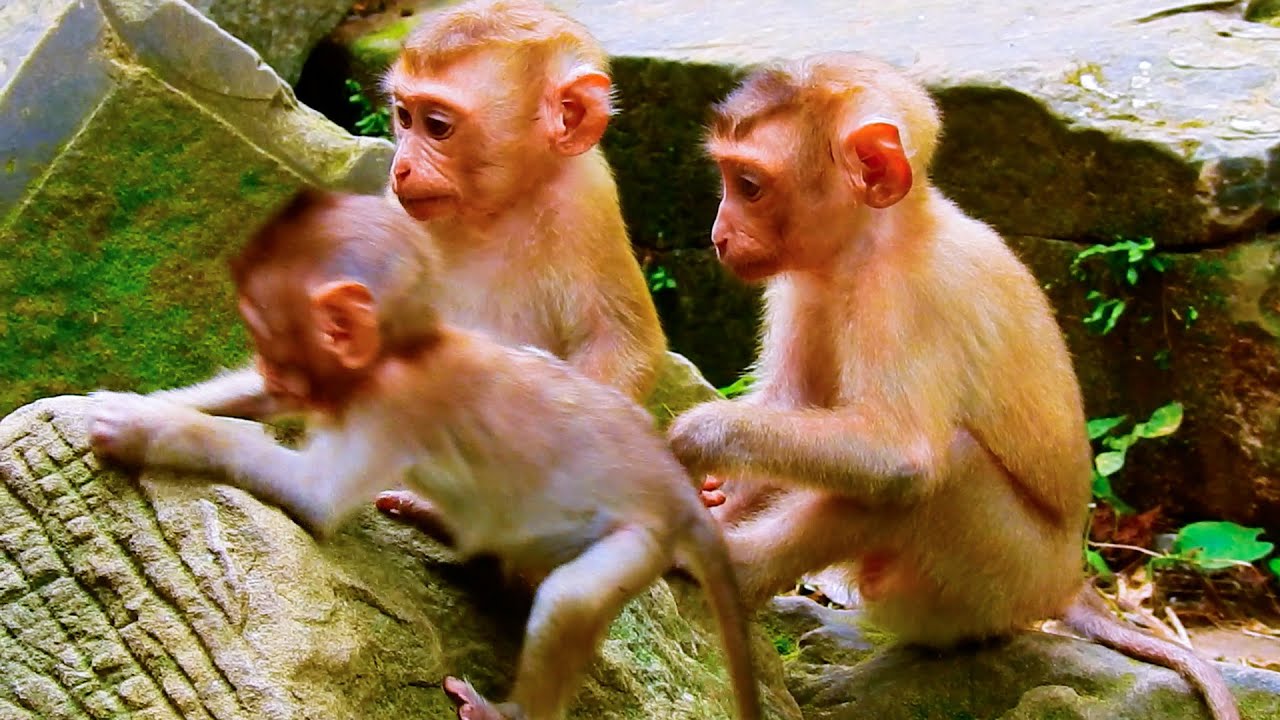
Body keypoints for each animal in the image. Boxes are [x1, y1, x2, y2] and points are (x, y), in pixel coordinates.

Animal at [88, 189, 761, 720]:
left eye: (264, 336)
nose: (270, 369)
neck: (405, 350)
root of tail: (677, 492)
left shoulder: (393, 406)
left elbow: (316, 496)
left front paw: (139, 425)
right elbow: (251, 402)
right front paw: (130, 402)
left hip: (640, 541)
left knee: (571, 597)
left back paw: (508, 712)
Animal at [147, 1, 667, 538]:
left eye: (436, 125)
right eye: (403, 116)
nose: (400, 165)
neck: (494, 209)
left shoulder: (586, 201)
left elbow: (618, 342)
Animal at [665, 53, 1239, 720]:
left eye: (749, 185)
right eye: (729, 177)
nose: (718, 234)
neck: (870, 242)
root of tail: (1068, 582)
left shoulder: (904, 299)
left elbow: (902, 456)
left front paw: (697, 438)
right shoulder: (802, 282)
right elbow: (792, 407)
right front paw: (712, 495)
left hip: (998, 583)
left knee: (935, 474)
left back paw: (734, 570)